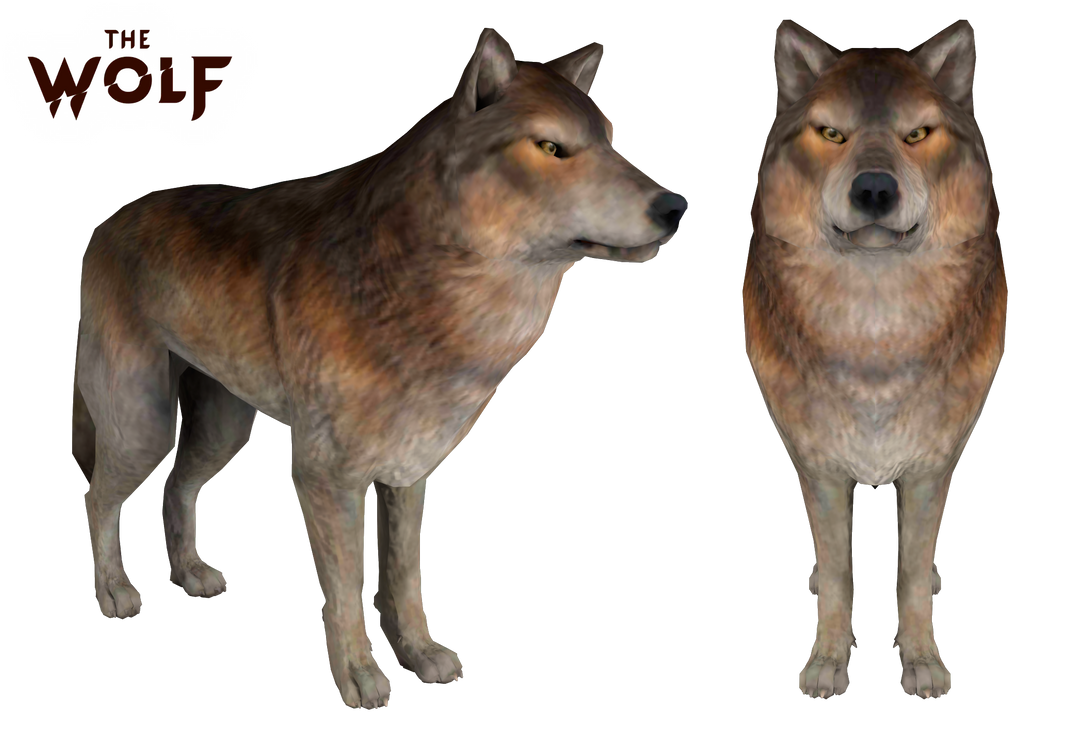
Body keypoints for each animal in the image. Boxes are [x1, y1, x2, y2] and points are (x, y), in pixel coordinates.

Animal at [68, 26, 688, 711]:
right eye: (552, 147)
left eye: (611, 139)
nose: (677, 207)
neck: (432, 299)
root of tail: (110, 220)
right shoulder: (324, 476)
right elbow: (346, 587)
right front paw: (362, 677)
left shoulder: (408, 470)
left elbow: (402, 578)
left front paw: (420, 656)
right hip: (144, 427)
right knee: (98, 494)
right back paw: (113, 591)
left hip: (224, 431)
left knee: (177, 487)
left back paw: (191, 575)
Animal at [741, 18, 1007, 701]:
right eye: (832, 134)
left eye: (917, 134)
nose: (875, 189)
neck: (874, 331)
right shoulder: (817, 463)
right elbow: (839, 573)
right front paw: (826, 664)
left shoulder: (933, 462)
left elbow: (909, 575)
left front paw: (924, 664)